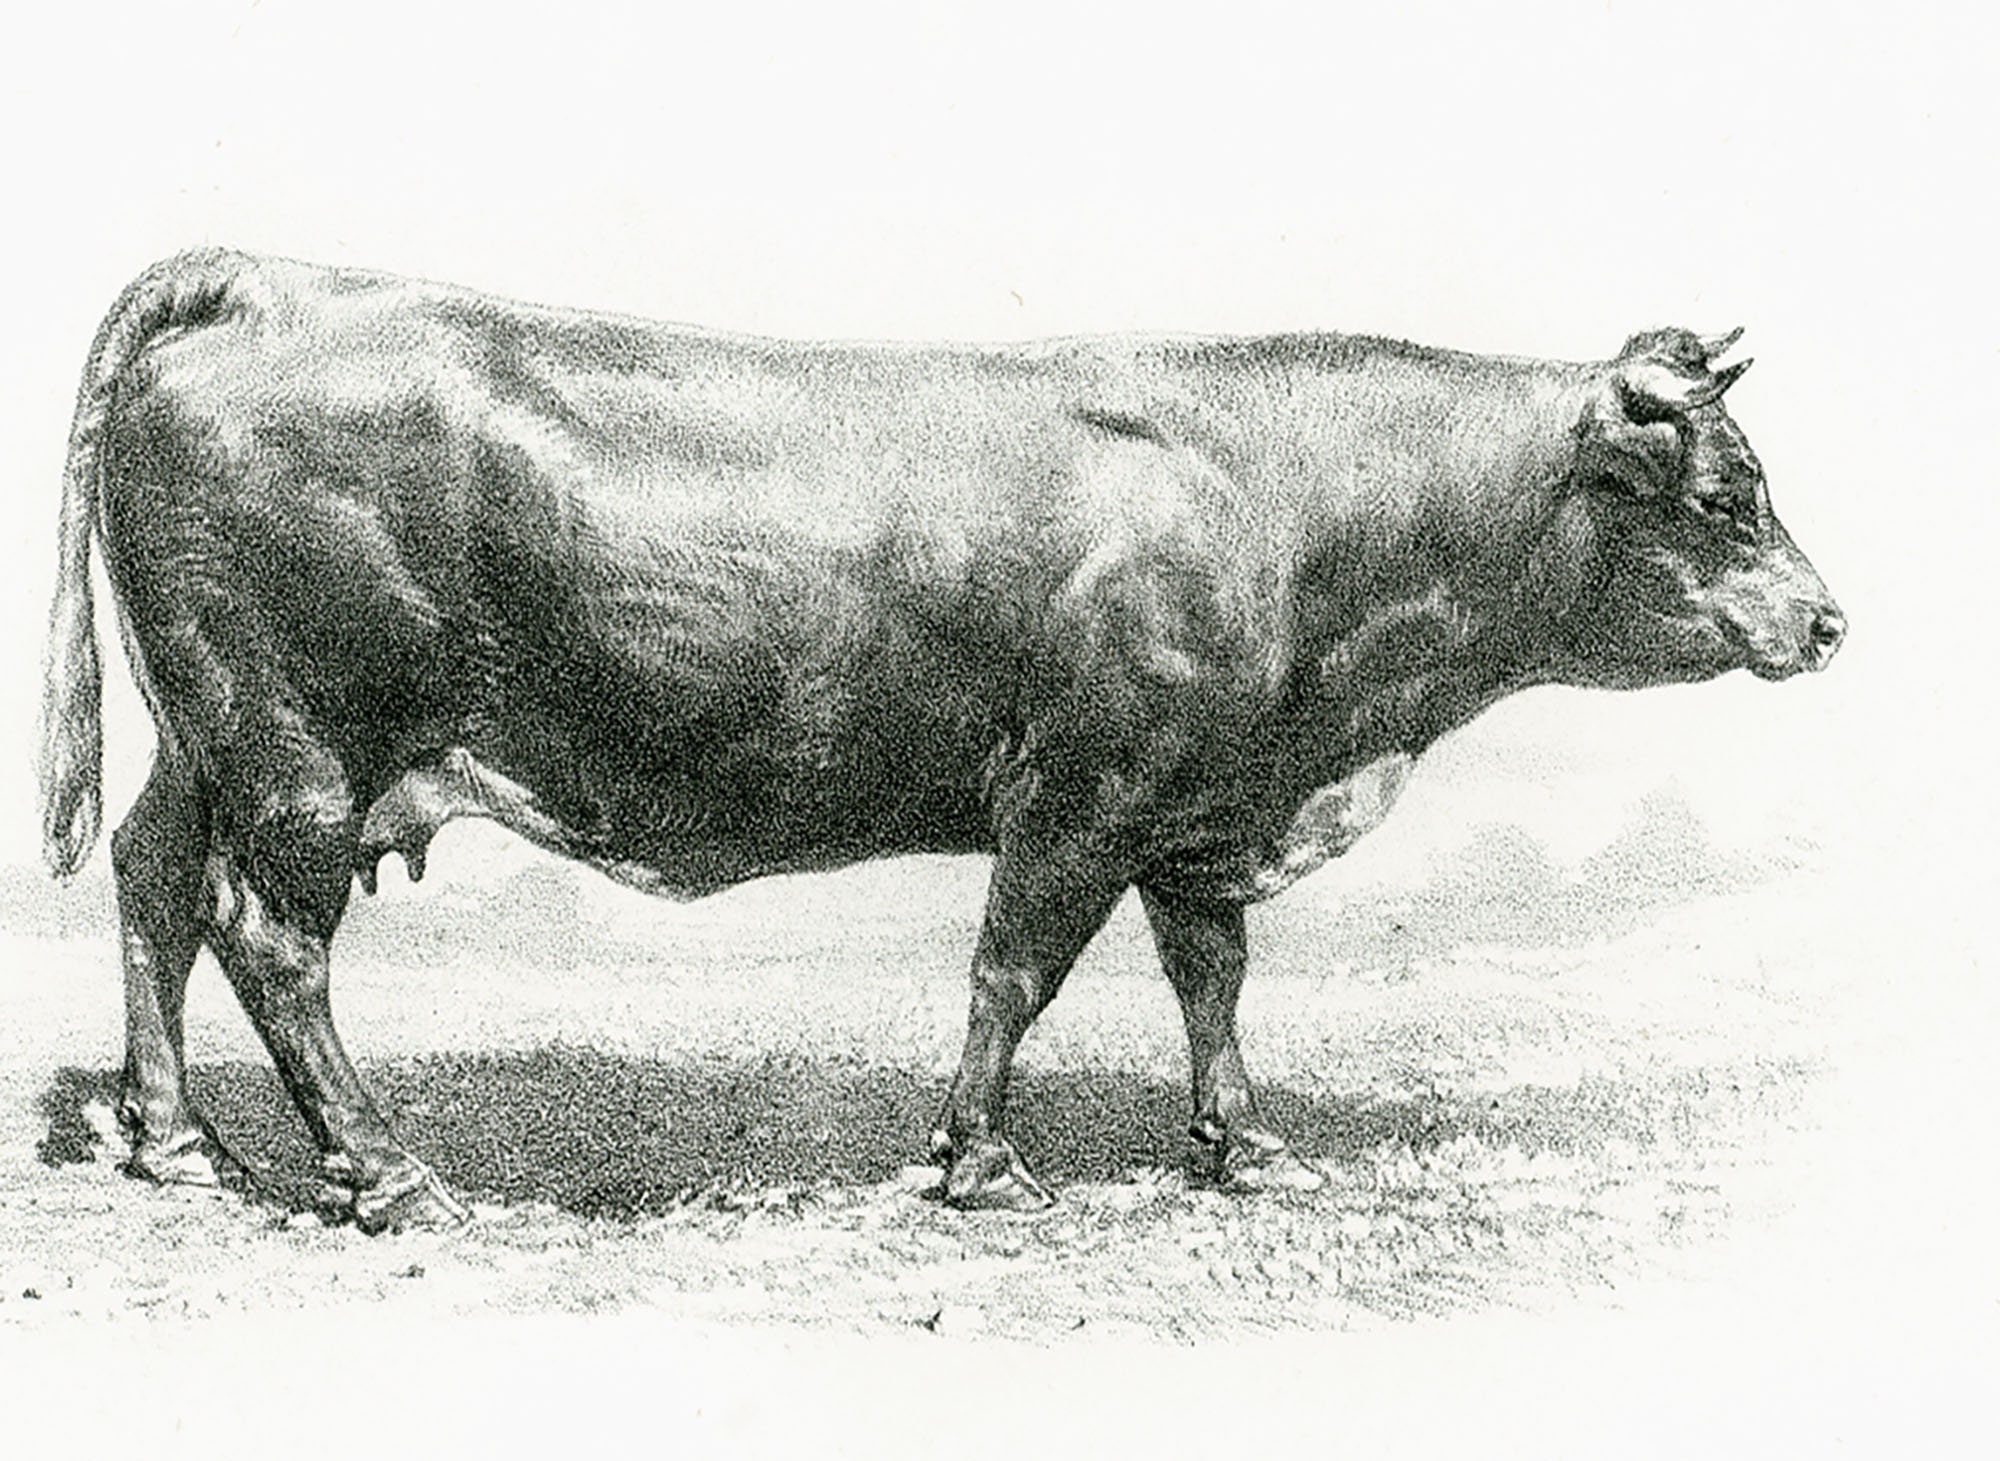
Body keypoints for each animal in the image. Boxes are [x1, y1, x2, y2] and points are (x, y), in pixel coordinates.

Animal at [37, 250, 1843, 1230]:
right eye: (1722, 493)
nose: (1830, 624)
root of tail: (272, 285)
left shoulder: (1205, 804)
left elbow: (1212, 977)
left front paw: (1246, 1147)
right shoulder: (1082, 789)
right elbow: (1015, 972)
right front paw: (979, 1163)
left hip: (209, 737)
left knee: (149, 880)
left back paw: (177, 1147)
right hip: (298, 753)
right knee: (269, 940)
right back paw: (388, 1173)